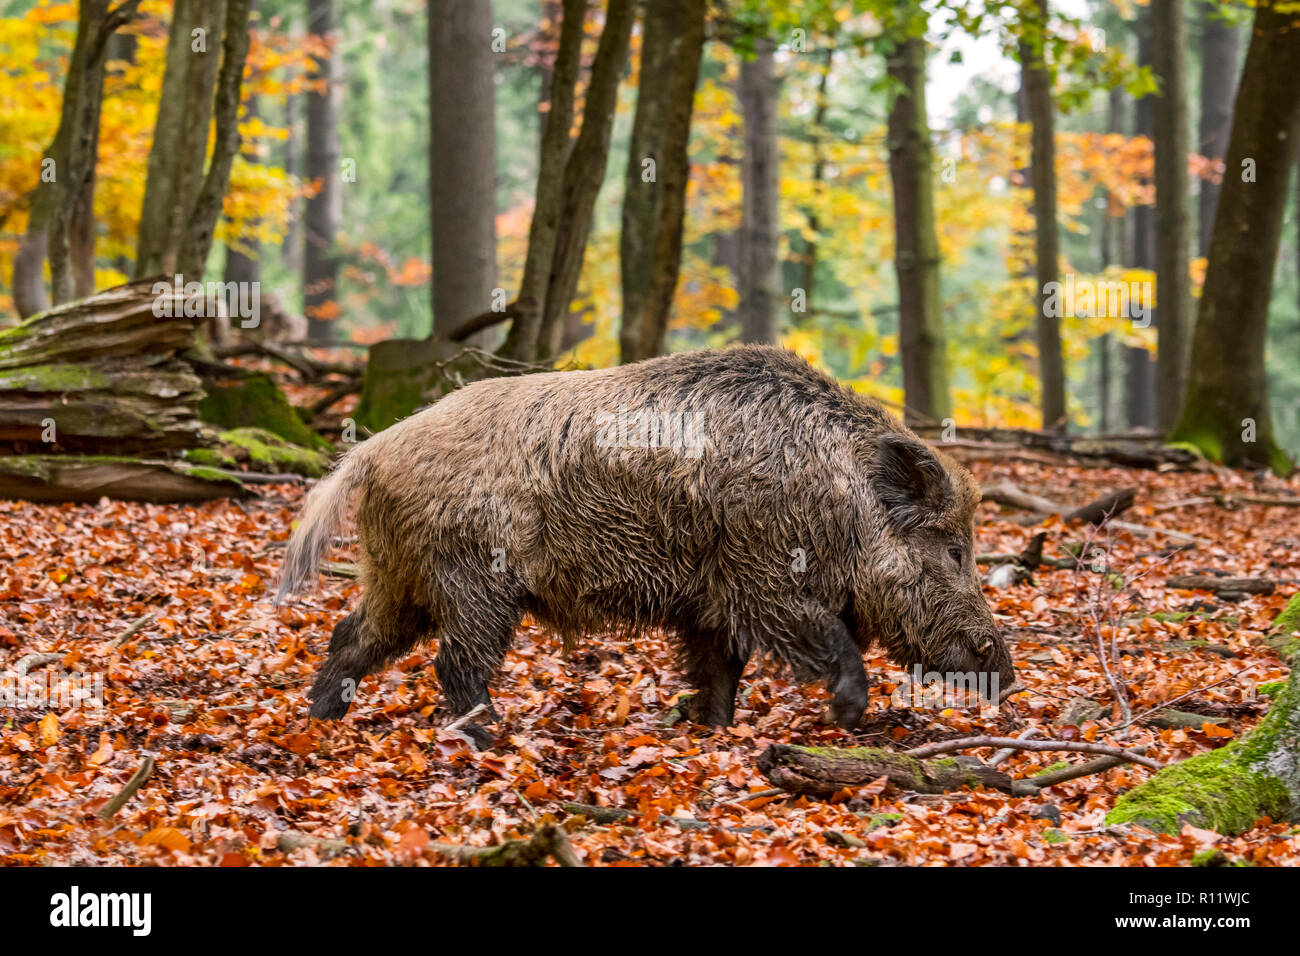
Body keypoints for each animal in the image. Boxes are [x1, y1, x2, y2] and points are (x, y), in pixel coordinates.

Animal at [275, 346, 1015, 748]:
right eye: (954, 551)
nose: (1006, 673)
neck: (842, 504)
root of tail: (371, 451)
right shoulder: (766, 582)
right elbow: (827, 640)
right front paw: (849, 716)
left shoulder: (712, 603)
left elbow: (719, 669)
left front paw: (713, 732)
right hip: (473, 582)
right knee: (453, 664)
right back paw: (489, 735)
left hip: (399, 578)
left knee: (353, 635)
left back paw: (322, 716)